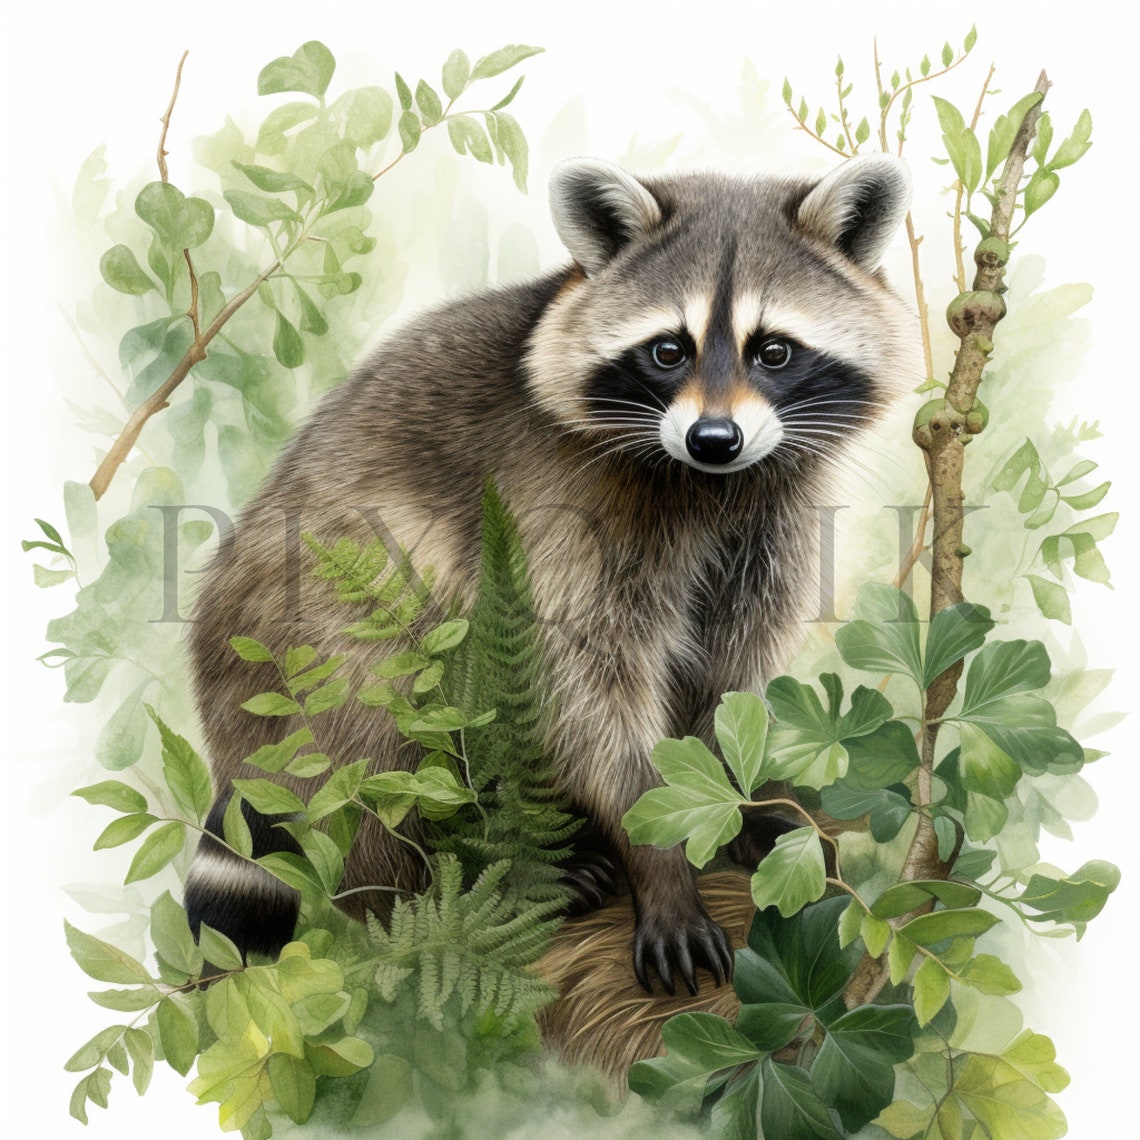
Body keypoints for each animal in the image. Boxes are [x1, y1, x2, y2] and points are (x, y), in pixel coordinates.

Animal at [185, 153, 917, 997]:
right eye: (668, 350)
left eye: (774, 351)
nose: (714, 438)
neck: (711, 484)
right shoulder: (557, 507)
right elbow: (587, 690)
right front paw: (659, 864)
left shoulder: (772, 520)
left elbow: (732, 666)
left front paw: (734, 796)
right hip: (316, 625)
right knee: (375, 733)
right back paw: (458, 867)